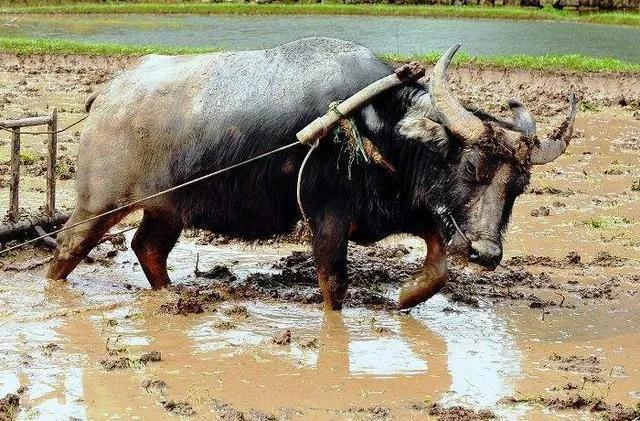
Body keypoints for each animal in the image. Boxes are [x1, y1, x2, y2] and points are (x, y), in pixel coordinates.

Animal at [47, 37, 577, 310]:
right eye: (471, 165)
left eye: (519, 186)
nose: (487, 253)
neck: (378, 125)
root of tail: (106, 95)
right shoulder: (328, 218)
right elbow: (333, 281)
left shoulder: (407, 212)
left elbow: (439, 259)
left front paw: (407, 296)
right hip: (98, 204)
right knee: (66, 251)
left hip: (167, 208)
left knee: (148, 248)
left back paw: (172, 295)